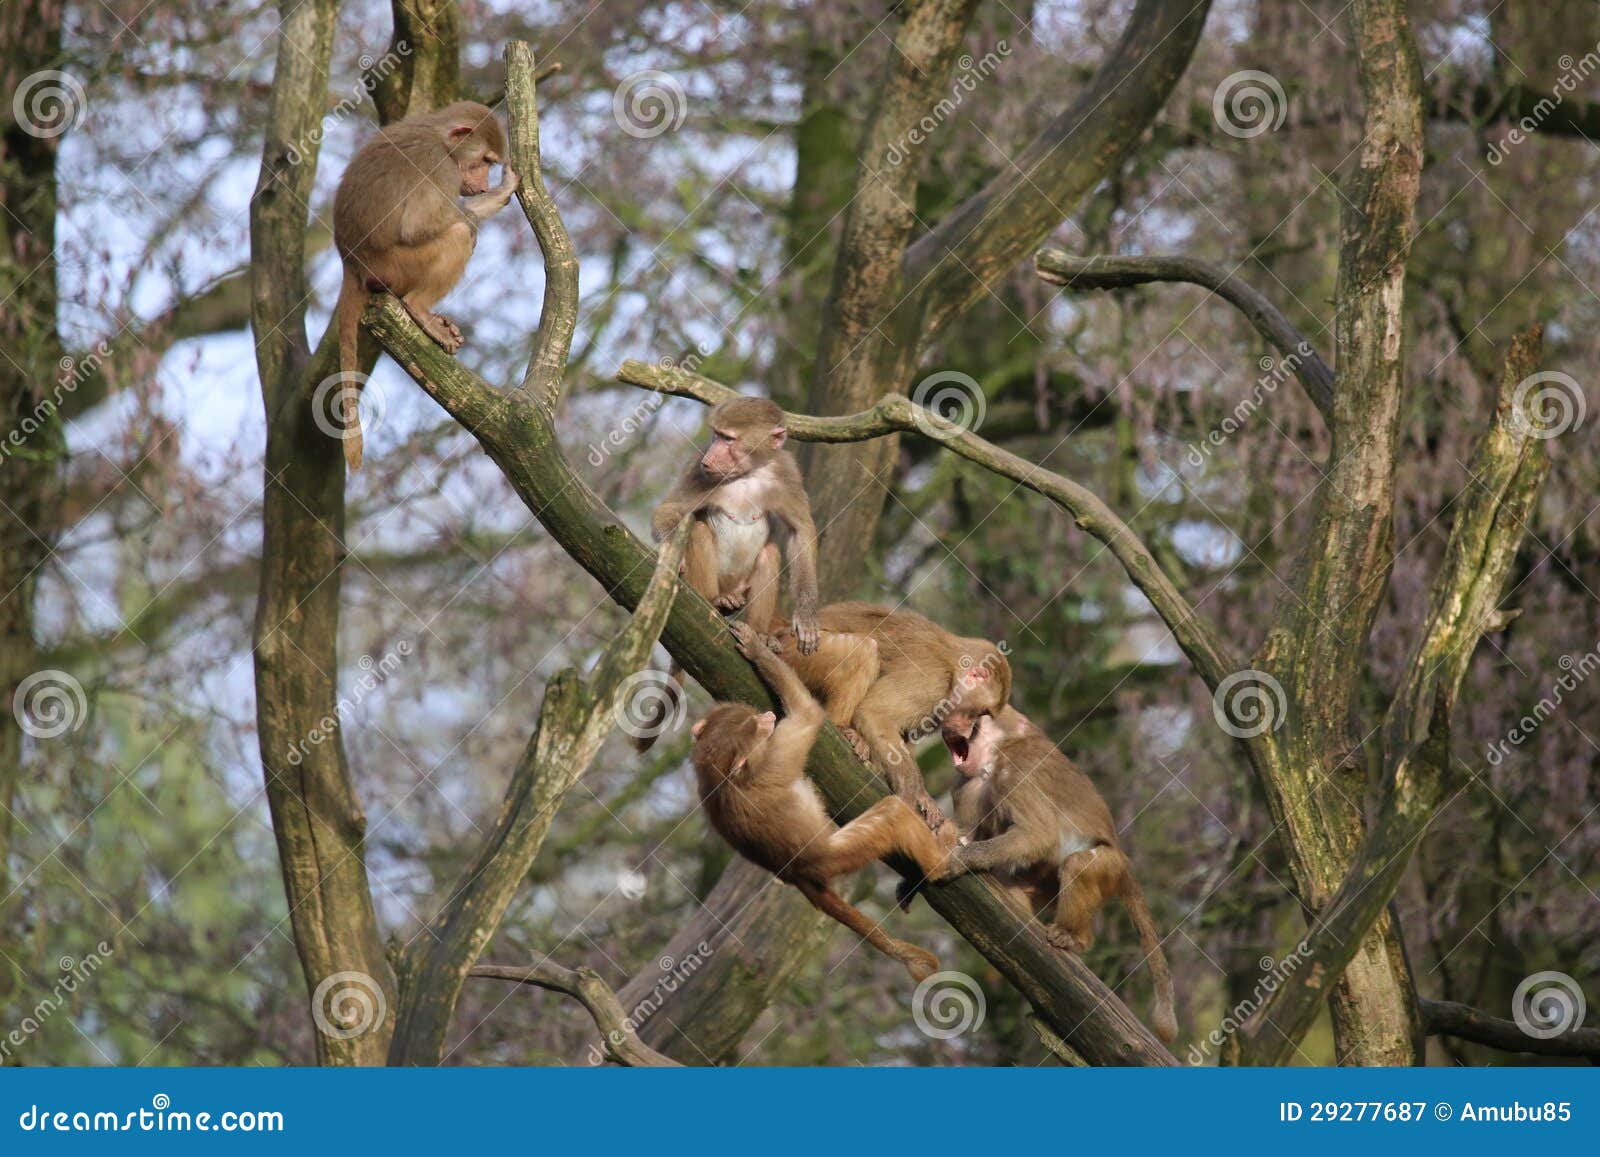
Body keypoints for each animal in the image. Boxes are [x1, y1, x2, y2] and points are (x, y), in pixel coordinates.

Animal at [331, 100, 520, 470]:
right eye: (485, 161)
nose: (483, 185)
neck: (440, 138)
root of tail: (350, 263)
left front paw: (500, 193)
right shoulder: (439, 167)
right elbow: (418, 226)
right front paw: (477, 212)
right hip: (395, 266)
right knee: (457, 235)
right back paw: (419, 309)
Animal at [634, 395, 820, 751]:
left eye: (729, 439)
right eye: (716, 435)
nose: (710, 456)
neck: (748, 474)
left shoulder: (785, 474)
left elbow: (799, 533)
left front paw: (805, 615)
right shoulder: (697, 469)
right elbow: (671, 510)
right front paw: (671, 547)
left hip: (742, 586)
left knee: (770, 553)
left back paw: (758, 634)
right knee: (697, 529)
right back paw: (712, 602)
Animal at [689, 622, 958, 981]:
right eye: (754, 726)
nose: (766, 717)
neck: (721, 775)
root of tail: (797, 875)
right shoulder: (777, 752)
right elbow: (808, 714)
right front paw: (758, 650)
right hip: (838, 854)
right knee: (891, 814)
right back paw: (941, 860)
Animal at [766, 602, 1011, 833]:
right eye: (979, 712)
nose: (969, 728)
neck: (953, 670)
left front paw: (922, 796)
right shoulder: (932, 681)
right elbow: (874, 713)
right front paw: (910, 792)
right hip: (795, 655)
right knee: (864, 650)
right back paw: (841, 727)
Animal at [932, 705, 1178, 1044]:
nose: (944, 724)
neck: (993, 758)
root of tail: (1124, 861)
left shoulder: (1016, 771)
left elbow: (1038, 835)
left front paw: (961, 859)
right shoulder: (966, 785)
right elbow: (968, 830)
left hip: (1109, 865)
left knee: (1077, 864)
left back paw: (1076, 938)